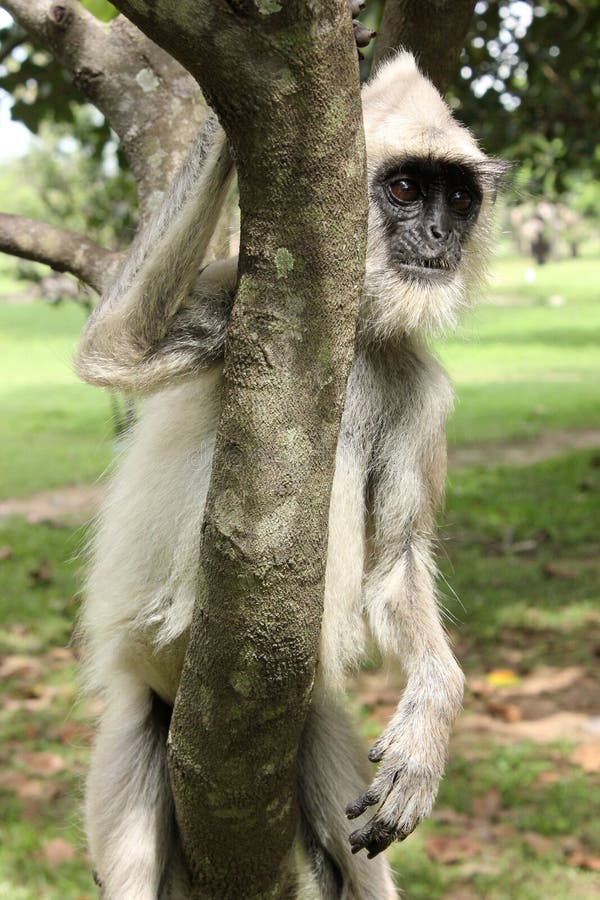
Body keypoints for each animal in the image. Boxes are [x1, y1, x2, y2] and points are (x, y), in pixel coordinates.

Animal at [75, 52, 507, 899]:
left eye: (459, 198)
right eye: (406, 190)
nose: (439, 234)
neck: (354, 331)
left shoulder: (418, 387)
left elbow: (396, 560)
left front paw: (432, 714)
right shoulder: (231, 294)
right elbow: (112, 348)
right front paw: (223, 115)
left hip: (304, 737)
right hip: (140, 721)